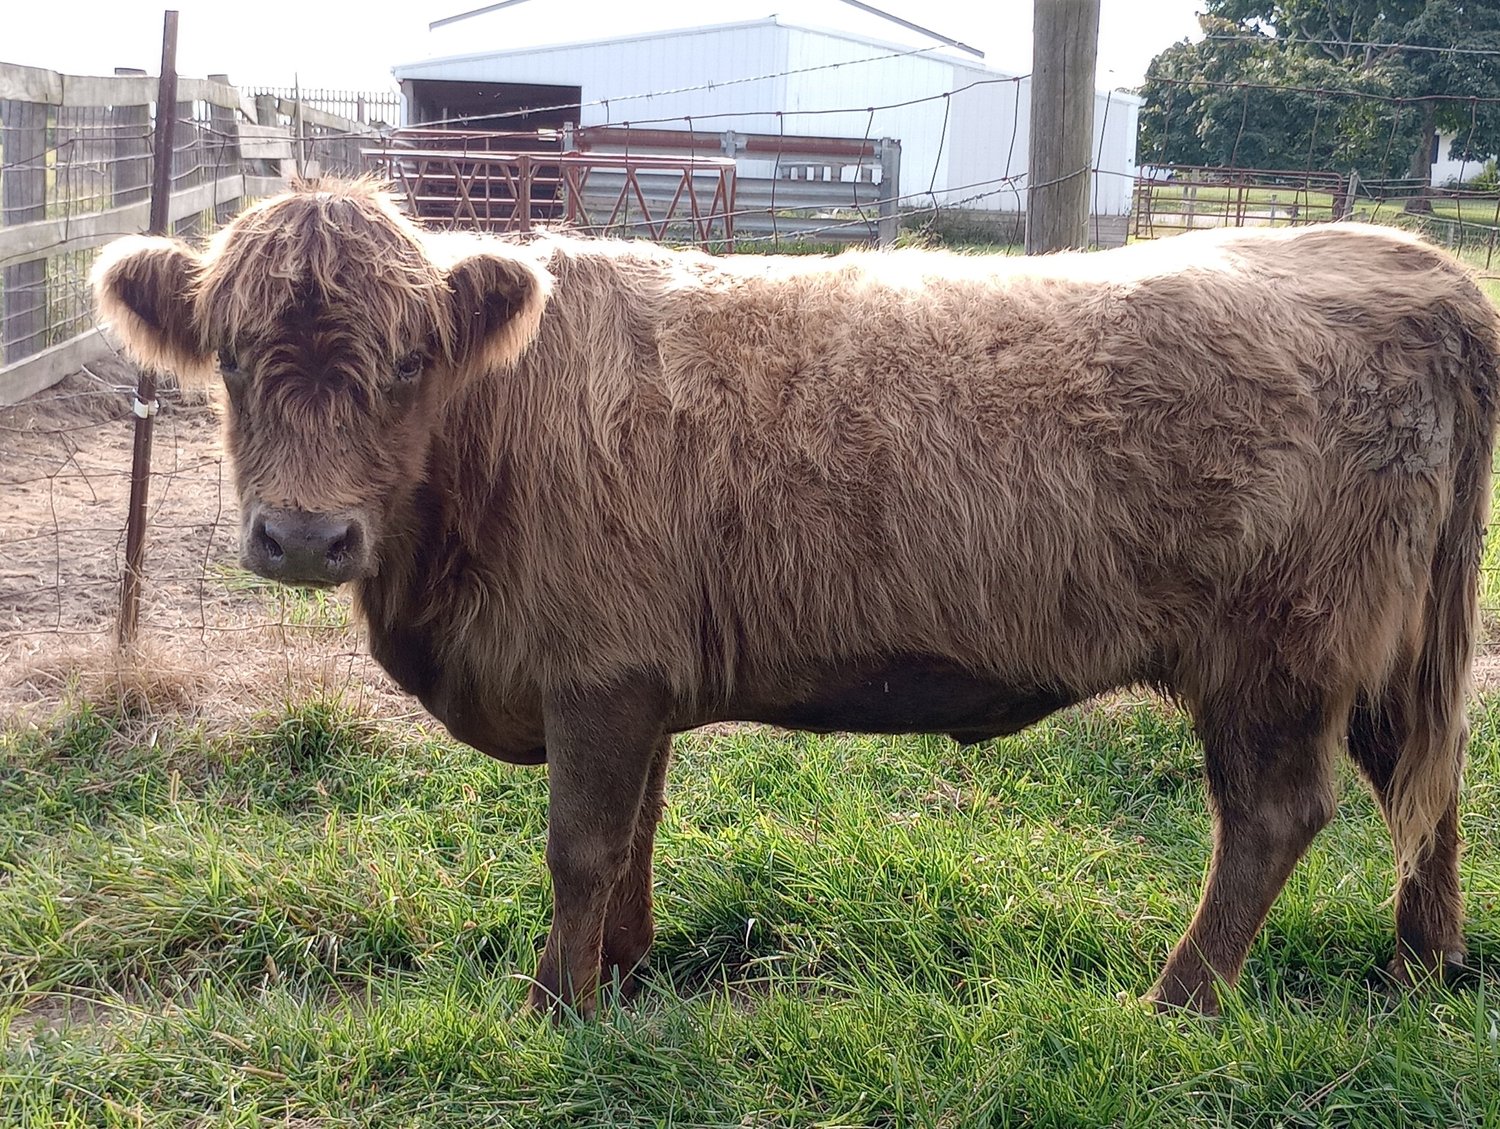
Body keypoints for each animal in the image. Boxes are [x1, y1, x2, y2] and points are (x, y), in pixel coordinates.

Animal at [92, 180, 1498, 1019]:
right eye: (231, 356)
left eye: (405, 363)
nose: (303, 535)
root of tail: (1417, 269)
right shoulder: (634, 680)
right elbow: (637, 832)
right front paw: (623, 970)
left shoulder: (594, 673)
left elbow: (580, 844)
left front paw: (557, 1004)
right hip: (1385, 648)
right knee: (1421, 783)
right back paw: (1423, 966)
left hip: (1280, 652)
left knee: (1278, 813)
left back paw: (1177, 1001)